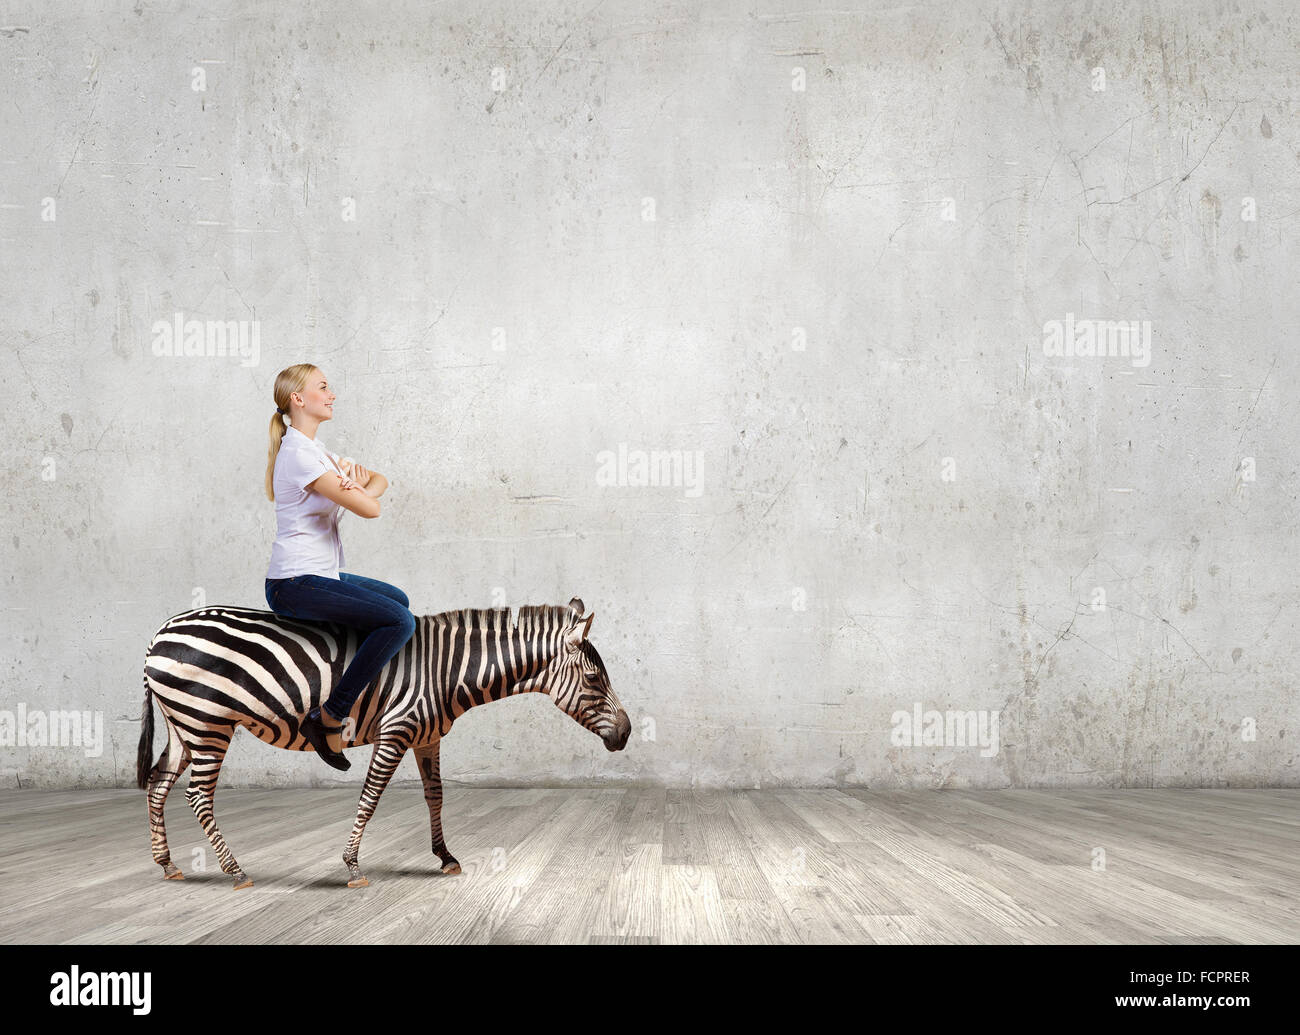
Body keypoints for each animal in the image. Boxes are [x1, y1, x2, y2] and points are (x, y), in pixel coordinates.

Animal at [135, 596, 629, 889]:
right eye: (594, 679)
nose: (626, 733)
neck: (444, 671)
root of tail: (161, 631)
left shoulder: (427, 738)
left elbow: (436, 795)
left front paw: (445, 857)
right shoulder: (396, 731)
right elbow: (371, 797)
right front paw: (353, 865)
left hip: (183, 725)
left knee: (158, 785)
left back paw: (168, 864)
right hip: (207, 722)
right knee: (198, 795)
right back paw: (235, 870)